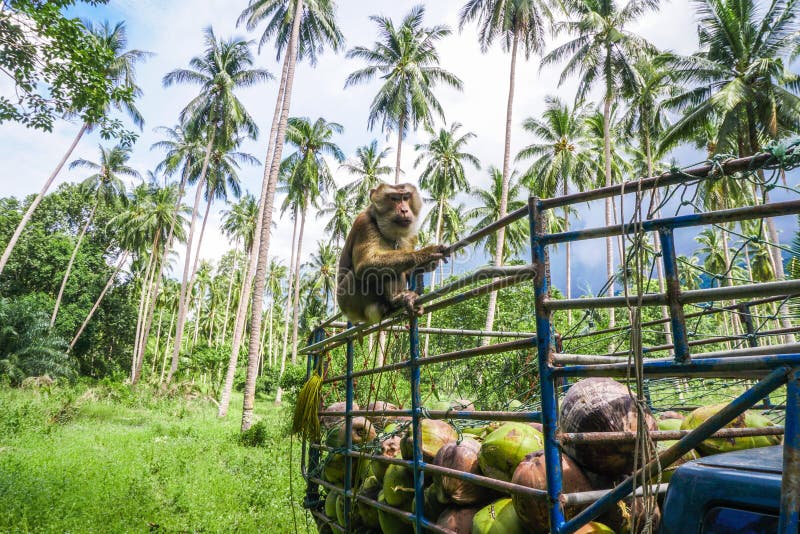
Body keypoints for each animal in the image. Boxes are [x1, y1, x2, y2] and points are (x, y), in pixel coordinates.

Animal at [336, 182, 447, 324]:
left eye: (406, 197)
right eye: (394, 199)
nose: (404, 210)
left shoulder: (411, 235)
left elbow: (409, 271)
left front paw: (425, 265)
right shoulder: (364, 222)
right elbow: (365, 265)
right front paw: (425, 253)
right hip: (349, 298)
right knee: (378, 271)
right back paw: (396, 299)